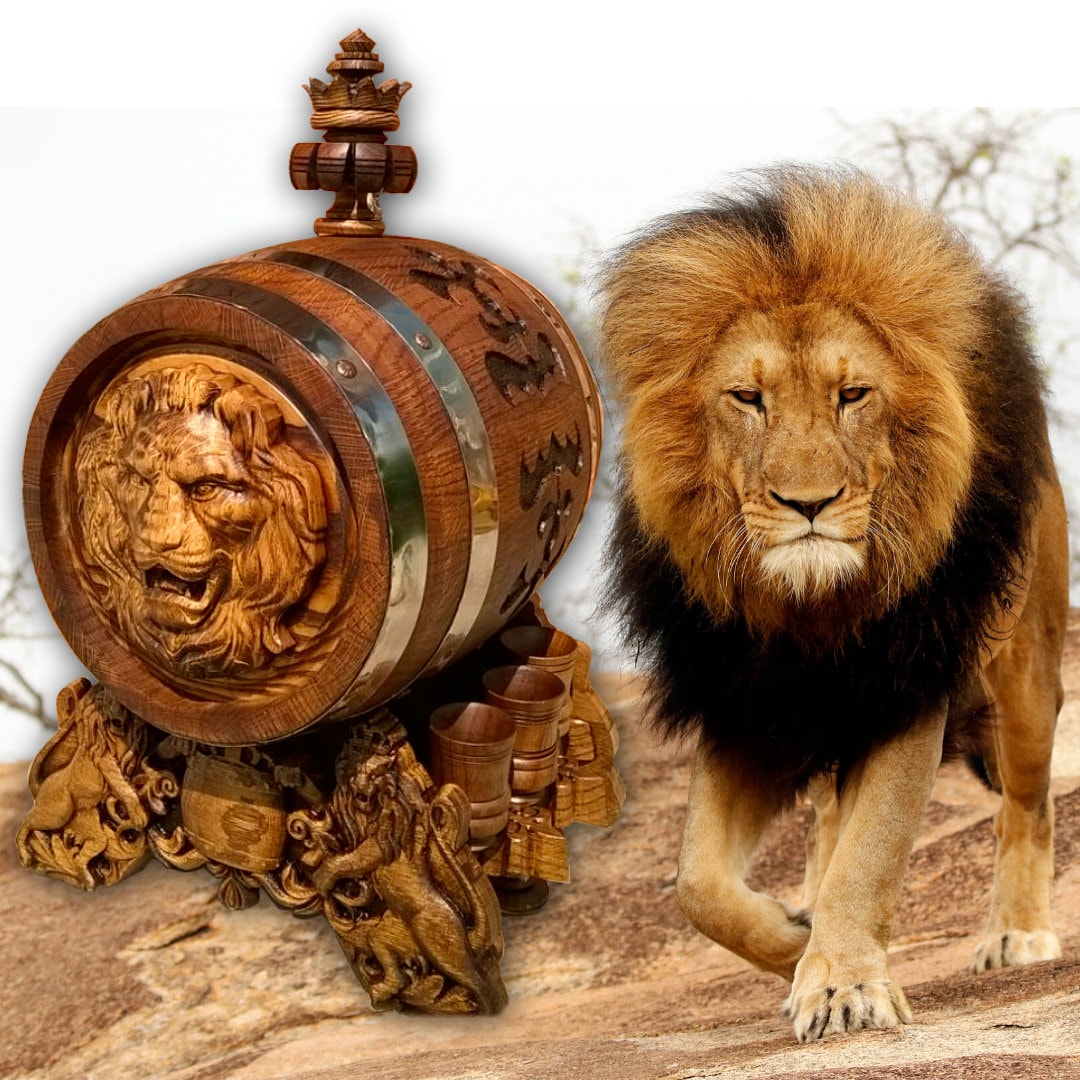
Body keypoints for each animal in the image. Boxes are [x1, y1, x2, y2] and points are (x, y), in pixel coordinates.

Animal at [596, 167, 1069, 1041]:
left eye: (853, 394)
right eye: (747, 398)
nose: (807, 503)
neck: (810, 611)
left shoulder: (907, 684)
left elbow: (872, 850)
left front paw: (844, 981)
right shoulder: (747, 700)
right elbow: (698, 886)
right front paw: (798, 942)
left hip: (1022, 667)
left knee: (1026, 804)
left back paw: (1017, 933)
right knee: (822, 827)